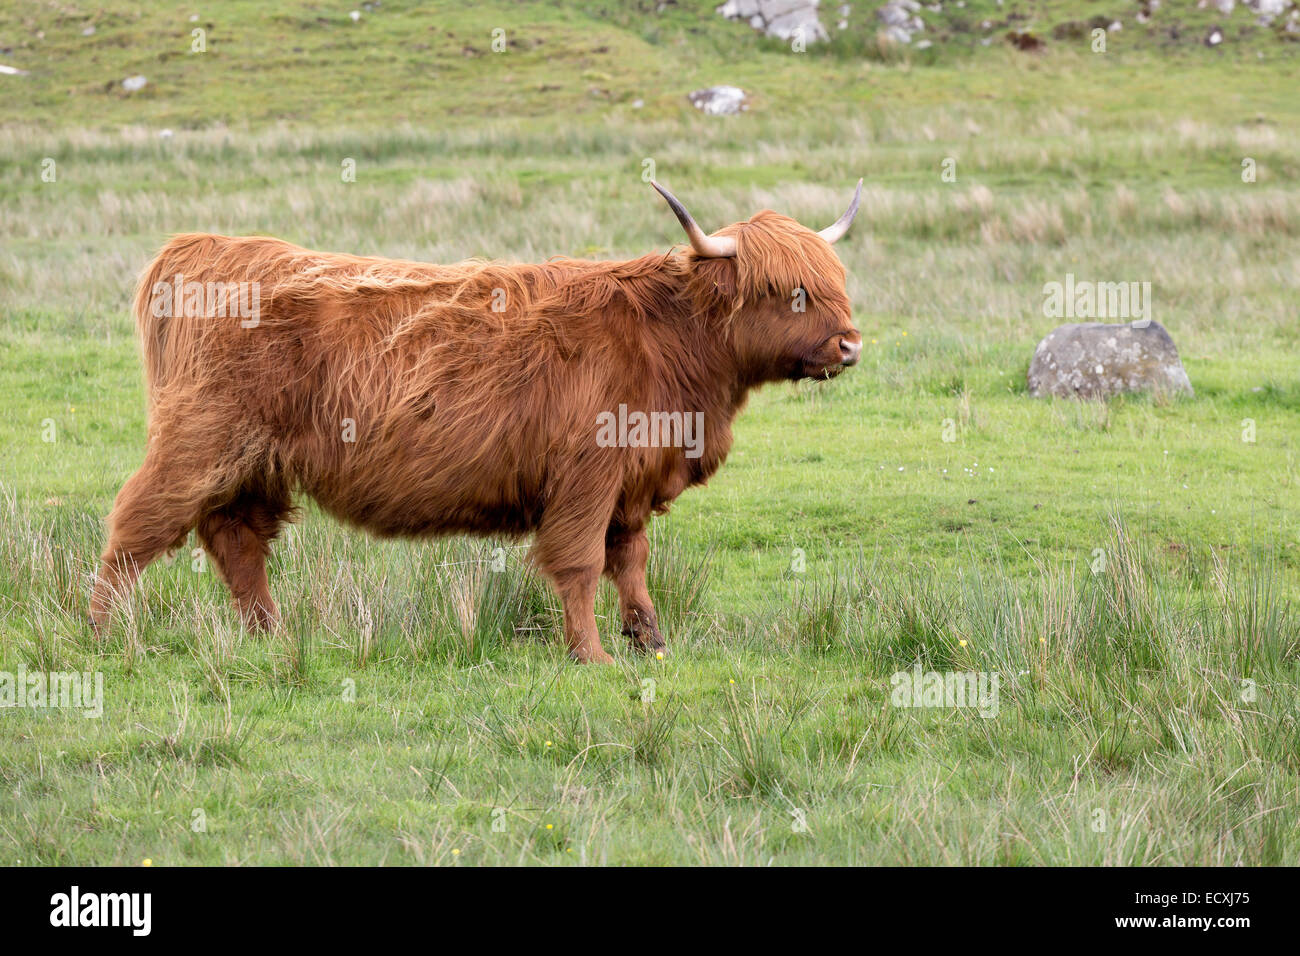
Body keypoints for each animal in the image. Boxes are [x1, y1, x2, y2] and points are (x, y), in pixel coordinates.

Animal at [89, 181, 863, 663]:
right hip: (198, 442)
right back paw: (100, 632)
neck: (668, 338)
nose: (850, 345)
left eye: (837, 282)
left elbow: (632, 563)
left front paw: (651, 642)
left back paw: (270, 637)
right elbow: (581, 564)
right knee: (135, 526)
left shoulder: (629, 484)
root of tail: (204, 246)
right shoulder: (587, 477)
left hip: (255, 464)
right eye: (787, 290)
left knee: (238, 542)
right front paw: (592, 655)